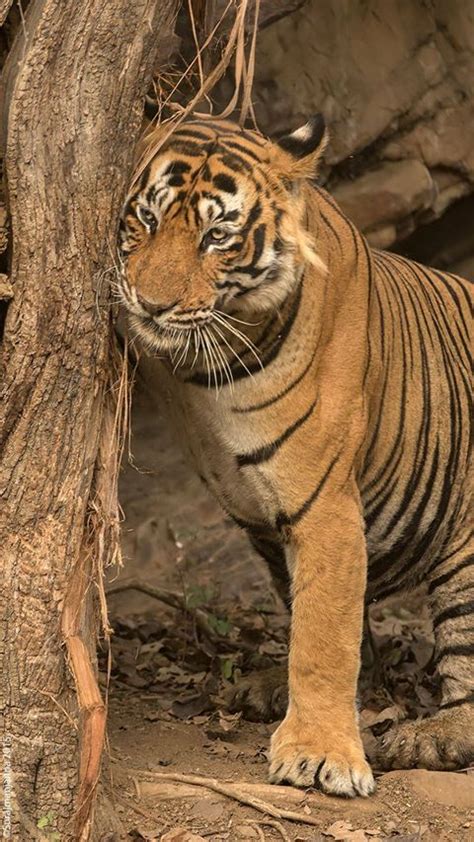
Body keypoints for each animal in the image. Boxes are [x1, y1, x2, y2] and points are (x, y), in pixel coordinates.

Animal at [117, 115, 473, 798]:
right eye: (145, 217)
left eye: (217, 237)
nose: (151, 304)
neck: (207, 368)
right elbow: (320, 621)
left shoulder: (326, 504)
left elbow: (324, 637)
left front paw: (321, 754)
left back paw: (430, 735)